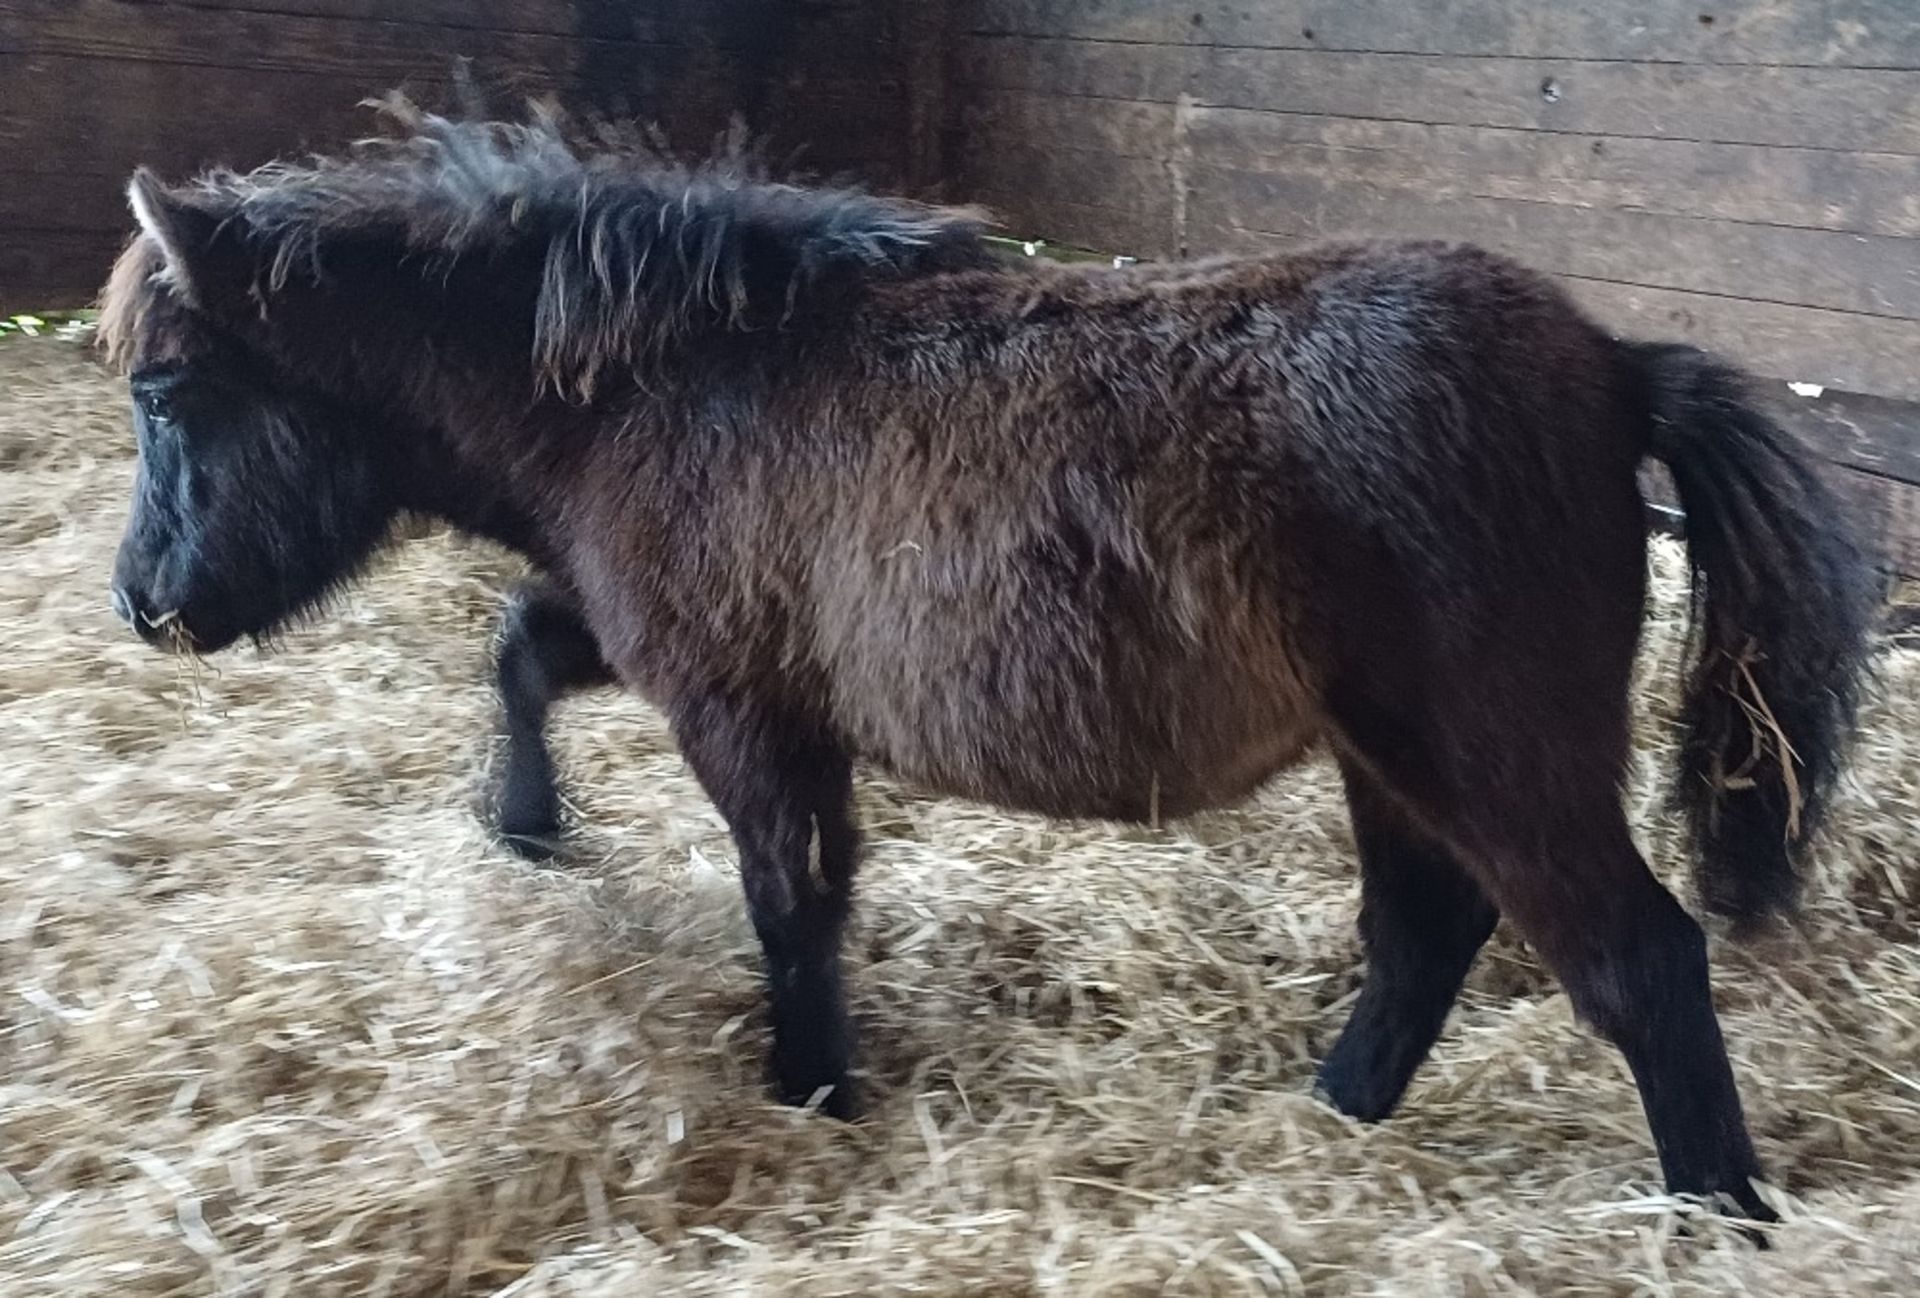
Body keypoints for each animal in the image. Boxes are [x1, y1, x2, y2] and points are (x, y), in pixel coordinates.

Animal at [99, 101, 1877, 1224]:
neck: (673, 384)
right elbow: (525, 649)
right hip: (1395, 760)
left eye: (168, 395)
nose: (142, 604)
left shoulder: (742, 712)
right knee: (1425, 933)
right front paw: (528, 831)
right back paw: (1331, 1113)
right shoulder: (686, 655)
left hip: (1493, 756)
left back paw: (1716, 1216)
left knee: (1637, 960)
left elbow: (791, 899)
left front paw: (811, 1088)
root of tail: (1612, 365)